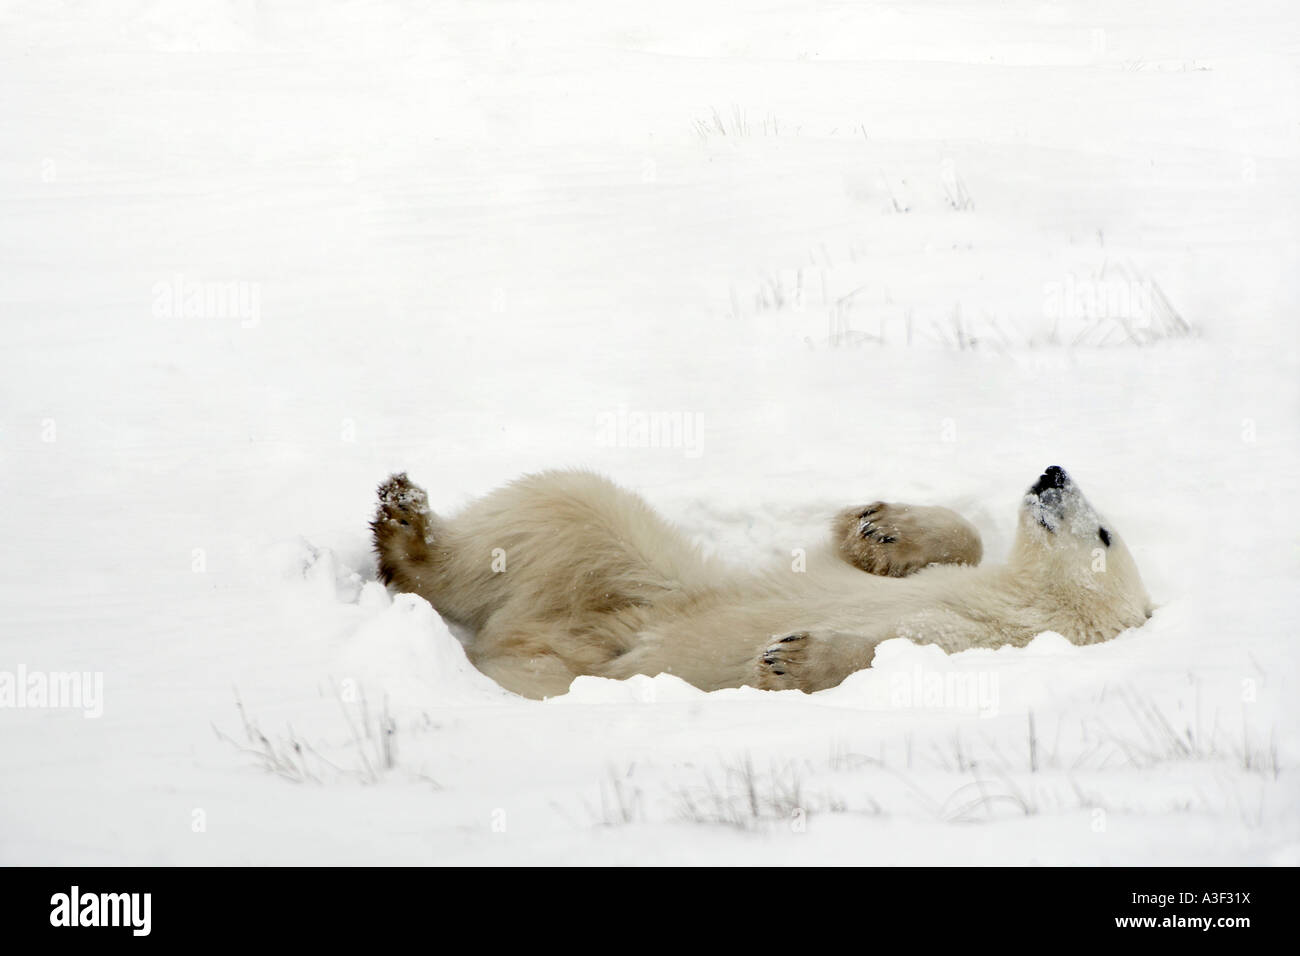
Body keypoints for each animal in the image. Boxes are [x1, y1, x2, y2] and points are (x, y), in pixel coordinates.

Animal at [370, 465, 1151, 699]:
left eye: (1106, 534)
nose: (1053, 472)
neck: (1024, 607)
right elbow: (953, 549)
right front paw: (877, 527)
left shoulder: (996, 647)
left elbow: (900, 652)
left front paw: (791, 657)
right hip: (639, 574)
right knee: (560, 505)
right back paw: (404, 523)